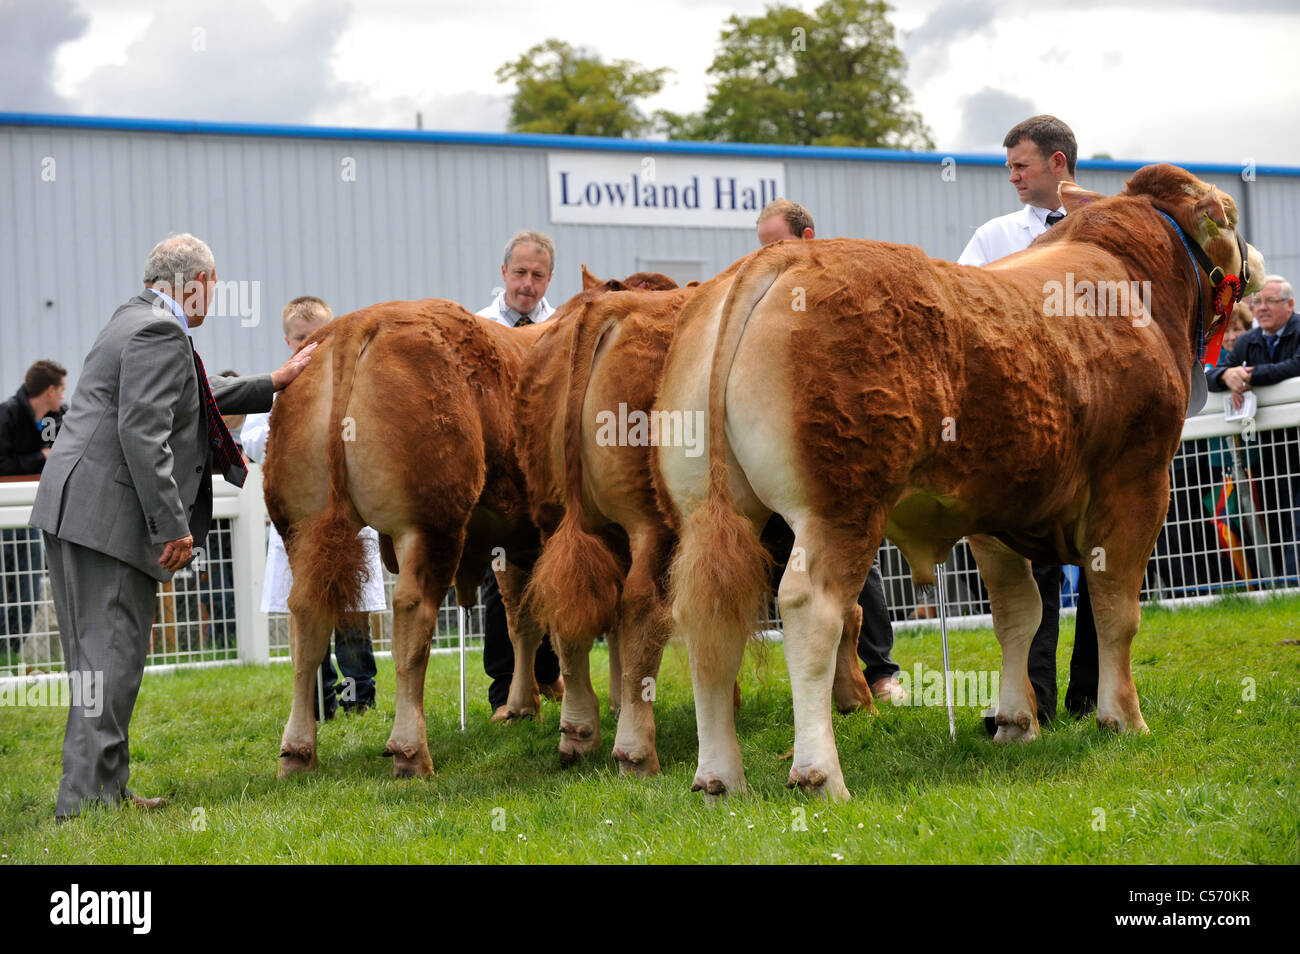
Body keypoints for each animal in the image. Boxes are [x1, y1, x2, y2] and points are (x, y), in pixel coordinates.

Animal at [656, 164, 1265, 801]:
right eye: (1230, 215)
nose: (1257, 261)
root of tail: (776, 260)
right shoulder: (1137, 480)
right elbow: (1115, 607)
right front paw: (1123, 718)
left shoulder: (996, 508)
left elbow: (1019, 612)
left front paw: (1016, 723)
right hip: (840, 506)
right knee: (812, 610)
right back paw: (820, 774)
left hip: (708, 511)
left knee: (707, 615)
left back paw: (718, 778)